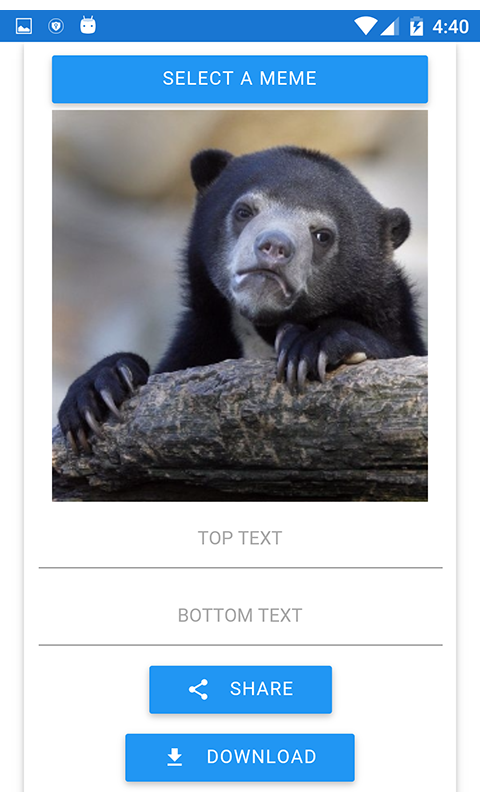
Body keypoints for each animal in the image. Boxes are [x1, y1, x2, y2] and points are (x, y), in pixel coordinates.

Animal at [57, 146, 426, 454]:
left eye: (322, 235)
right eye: (244, 211)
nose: (274, 247)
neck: (261, 329)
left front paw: (310, 345)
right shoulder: (204, 336)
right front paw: (98, 390)